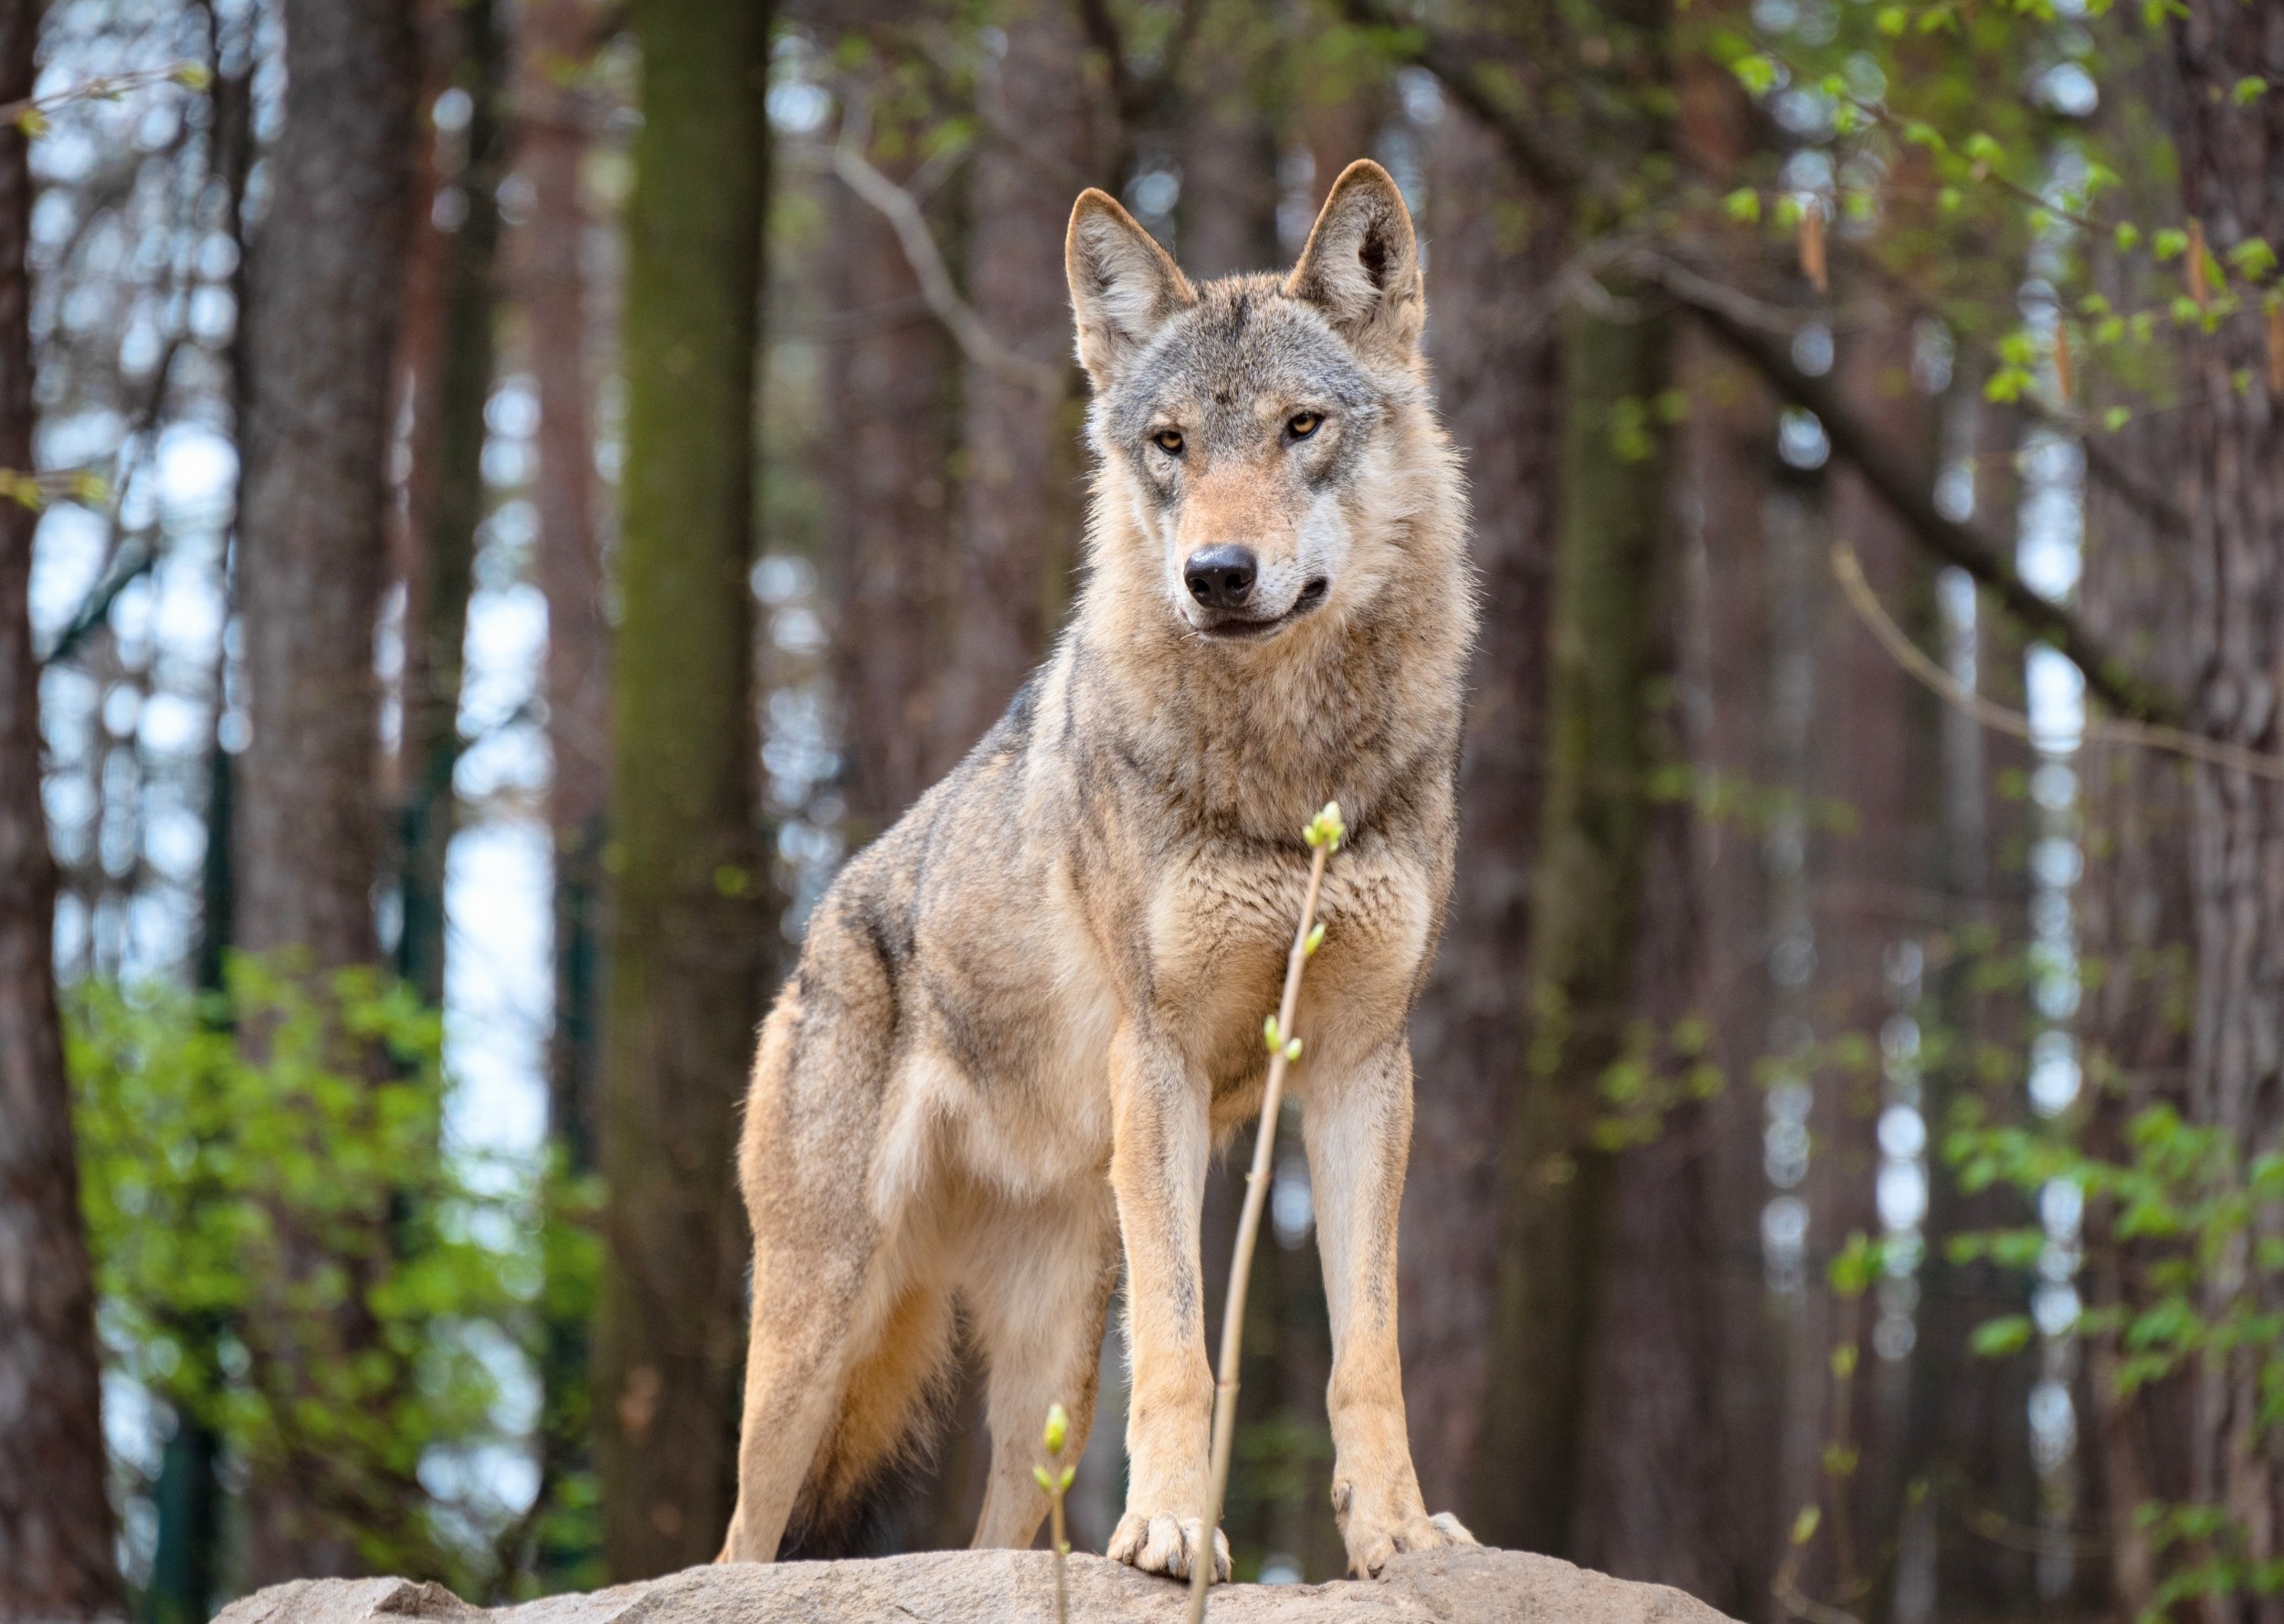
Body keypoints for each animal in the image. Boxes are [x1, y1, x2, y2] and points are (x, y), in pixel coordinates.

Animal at [717, 159, 1477, 1581]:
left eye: (1300, 426)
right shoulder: (1160, 1052)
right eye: (1170, 443)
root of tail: (822, 928)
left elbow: (1370, 1351)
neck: (1286, 768)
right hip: (819, 1326)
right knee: (738, 1539)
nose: (1218, 574)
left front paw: (1399, 1532)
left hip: (1050, 1366)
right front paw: (1175, 1527)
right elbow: (1182, 1347)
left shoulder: (1362, 1064)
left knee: (1004, 1529)